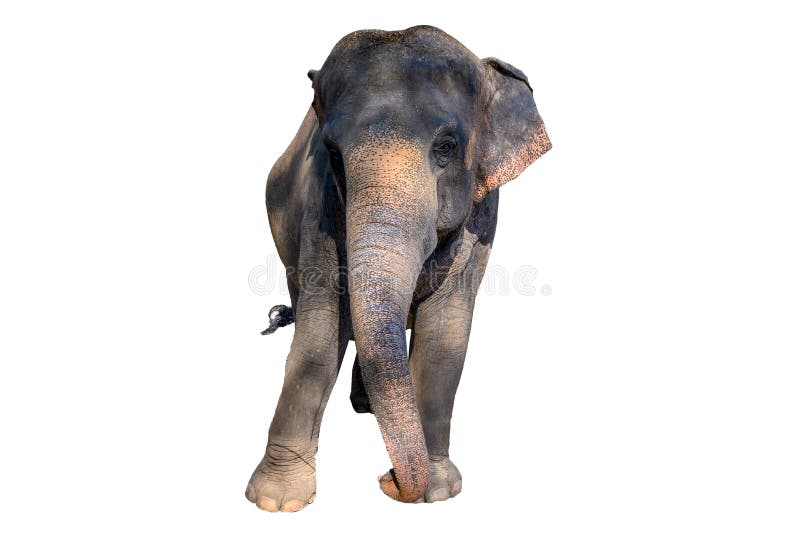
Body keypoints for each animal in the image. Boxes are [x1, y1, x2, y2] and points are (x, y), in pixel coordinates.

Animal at [245, 25, 551, 512]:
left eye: (446, 147)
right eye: (332, 154)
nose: (387, 480)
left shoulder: (483, 214)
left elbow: (445, 332)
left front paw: (435, 491)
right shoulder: (320, 206)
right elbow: (320, 328)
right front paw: (276, 501)